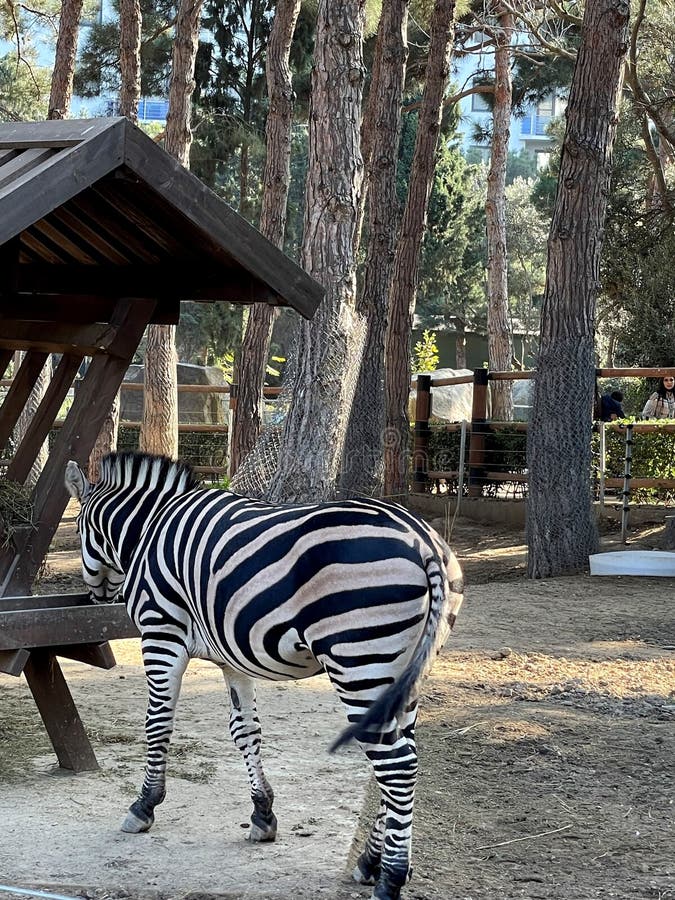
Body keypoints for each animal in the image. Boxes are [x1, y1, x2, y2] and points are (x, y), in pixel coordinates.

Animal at [65, 451, 463, 900]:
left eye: (78, 531)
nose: (95, 599)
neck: (150, 526)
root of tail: (423, 540)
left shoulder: (161, 632)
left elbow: (157, 724)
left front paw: (144, 805)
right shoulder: (230, 657)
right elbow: (246, 731)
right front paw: (262, 815)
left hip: (360, 660)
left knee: (398, 765)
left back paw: (390, 879)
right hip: (403, 670)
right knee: (402, 759)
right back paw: (371, 863)